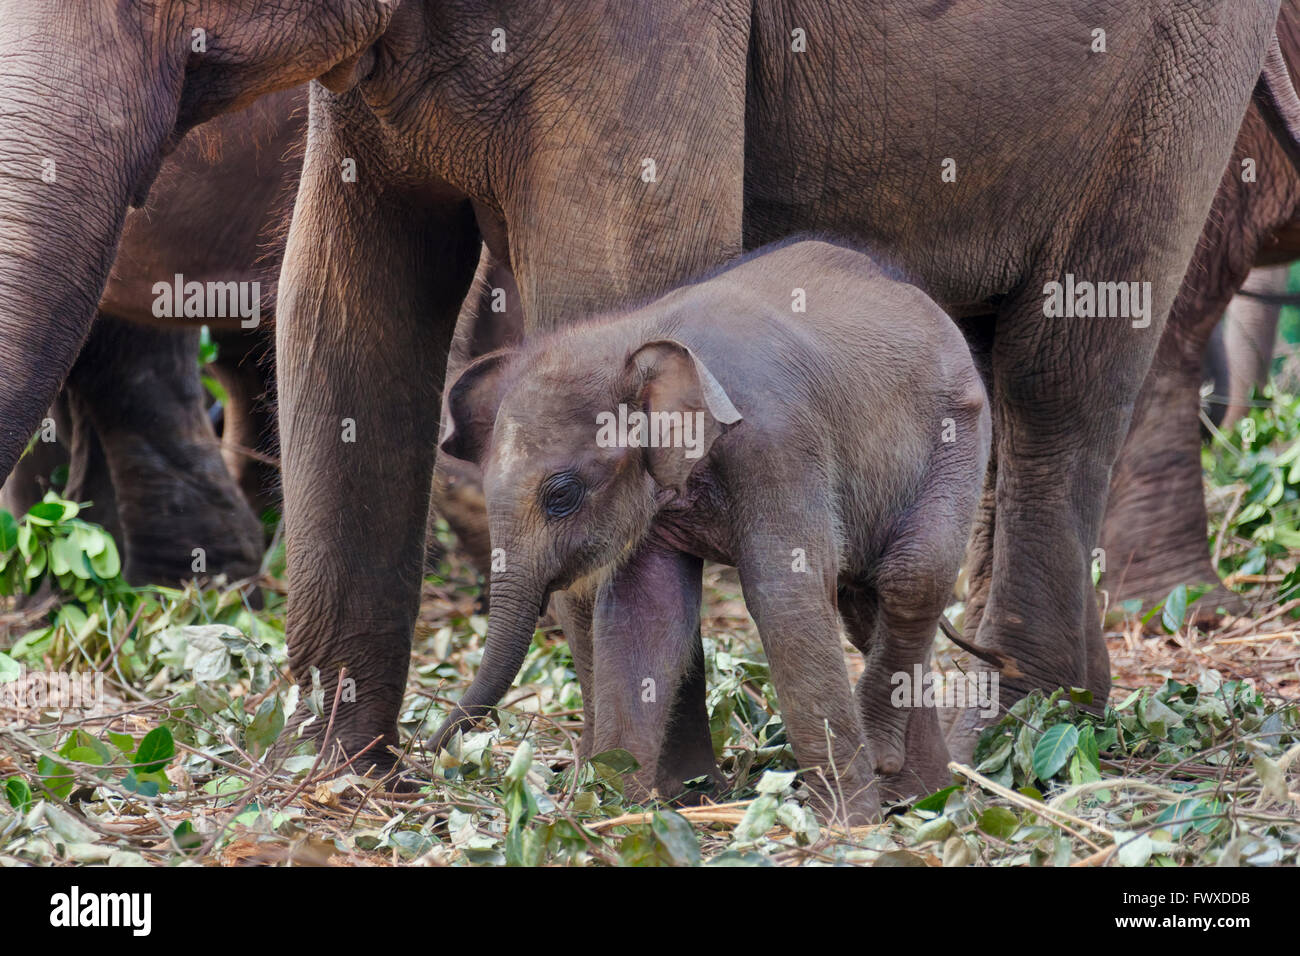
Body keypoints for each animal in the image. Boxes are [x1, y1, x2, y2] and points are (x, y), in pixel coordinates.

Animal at [434, 240, 990, 820]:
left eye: (561, 495)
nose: (429, 752)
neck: (633, 338)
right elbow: (644, 609)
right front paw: (613, 810)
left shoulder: (779, 443)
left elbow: (784, 597)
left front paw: (843, 824)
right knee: (865, 602)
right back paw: (925, 797)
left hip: (958, 432)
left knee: (910, 575)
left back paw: (890, 767)